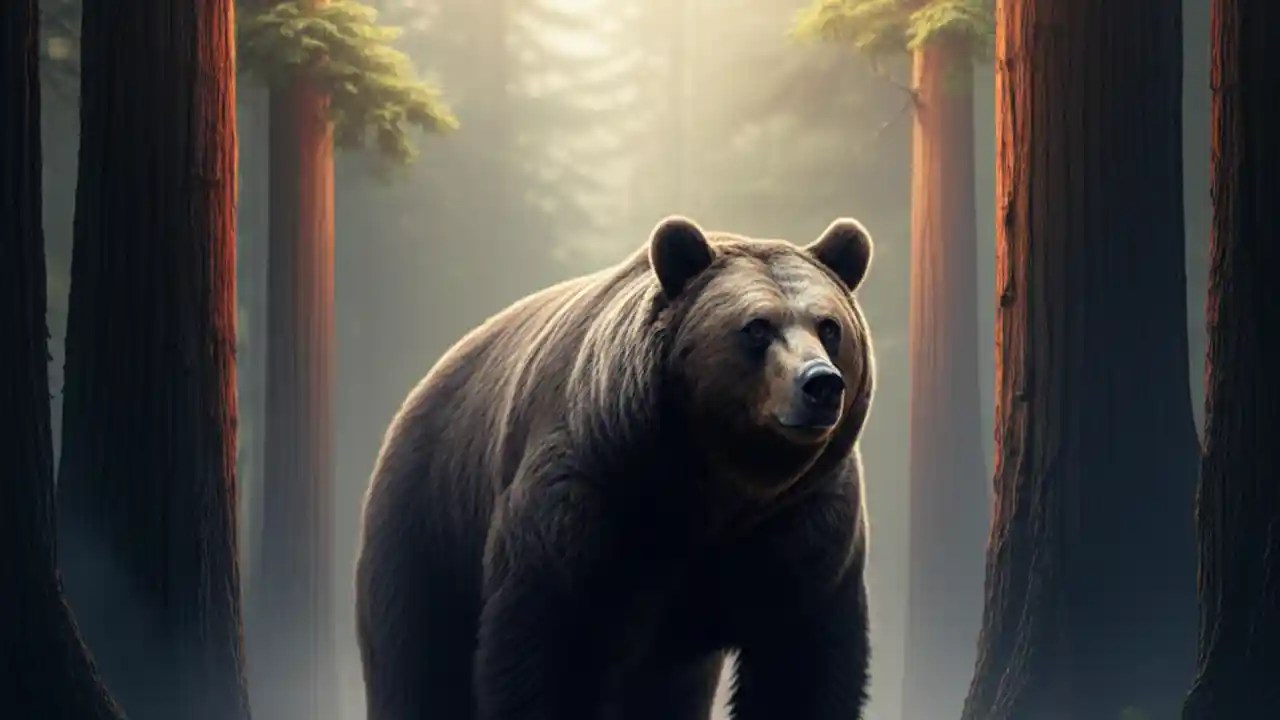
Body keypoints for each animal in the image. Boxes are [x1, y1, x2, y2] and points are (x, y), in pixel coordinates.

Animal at [355, 215, 876, 720]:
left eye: (829, 326)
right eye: (757, 326)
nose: (820, 383)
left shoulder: (802, 521)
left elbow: (802, 662)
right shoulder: (591, 497)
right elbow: (548, 648)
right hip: (428, 518)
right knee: (419, 658)